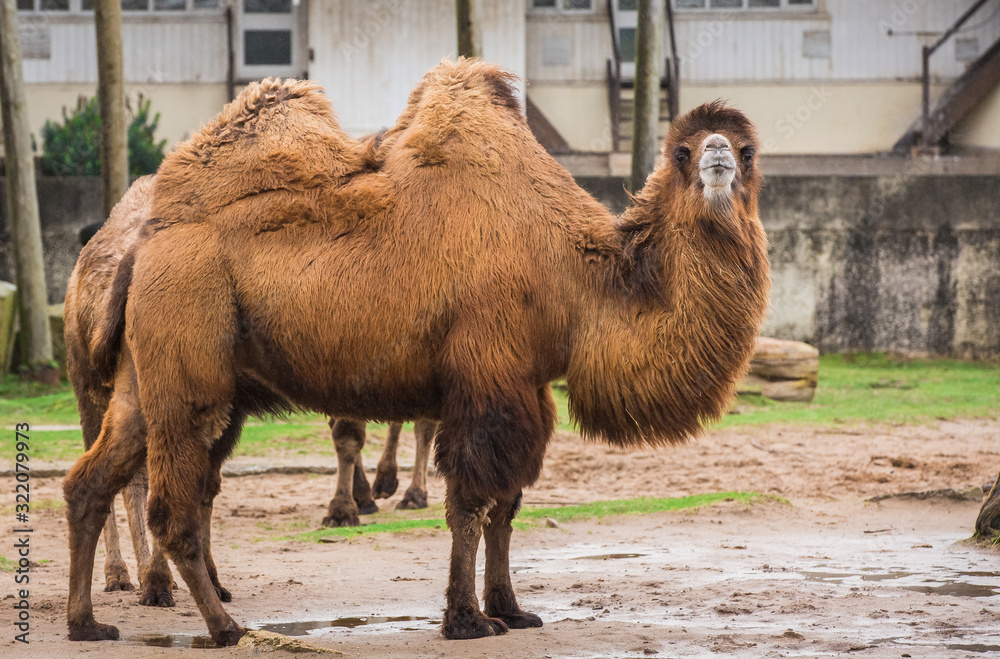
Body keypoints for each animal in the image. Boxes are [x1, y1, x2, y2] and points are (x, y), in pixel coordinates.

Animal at [63, 58, 769, 645]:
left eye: (748, 149)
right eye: (681, 151)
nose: (717, 157)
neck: (573, 272)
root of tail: (142, 244)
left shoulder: (524, 388)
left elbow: (507, 505)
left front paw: (512, 610)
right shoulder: (488, 379)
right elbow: (472, 505)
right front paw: (467, 620)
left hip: (144, 378)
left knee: (90, 481)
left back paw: (87, 623)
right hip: (189, 368)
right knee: (173, 504)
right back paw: (223, 625)